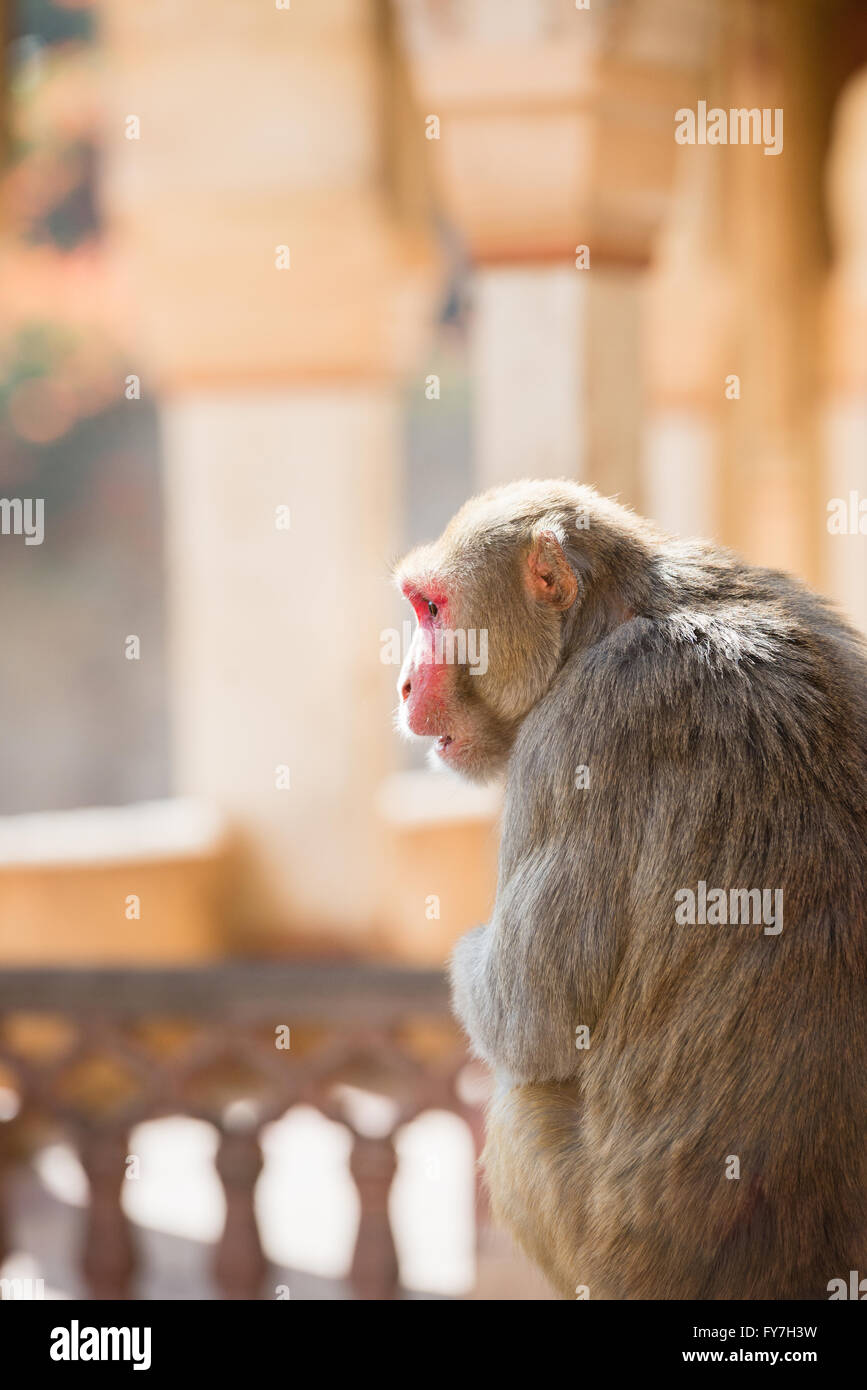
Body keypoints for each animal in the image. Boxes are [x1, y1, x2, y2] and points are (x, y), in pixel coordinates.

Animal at [394, 479, 867, 1300]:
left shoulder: (571, 736)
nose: (404, 682)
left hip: (608, 1243)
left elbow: (529, 1018)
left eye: (431, 609)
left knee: (519, 1116)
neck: (615, 617)